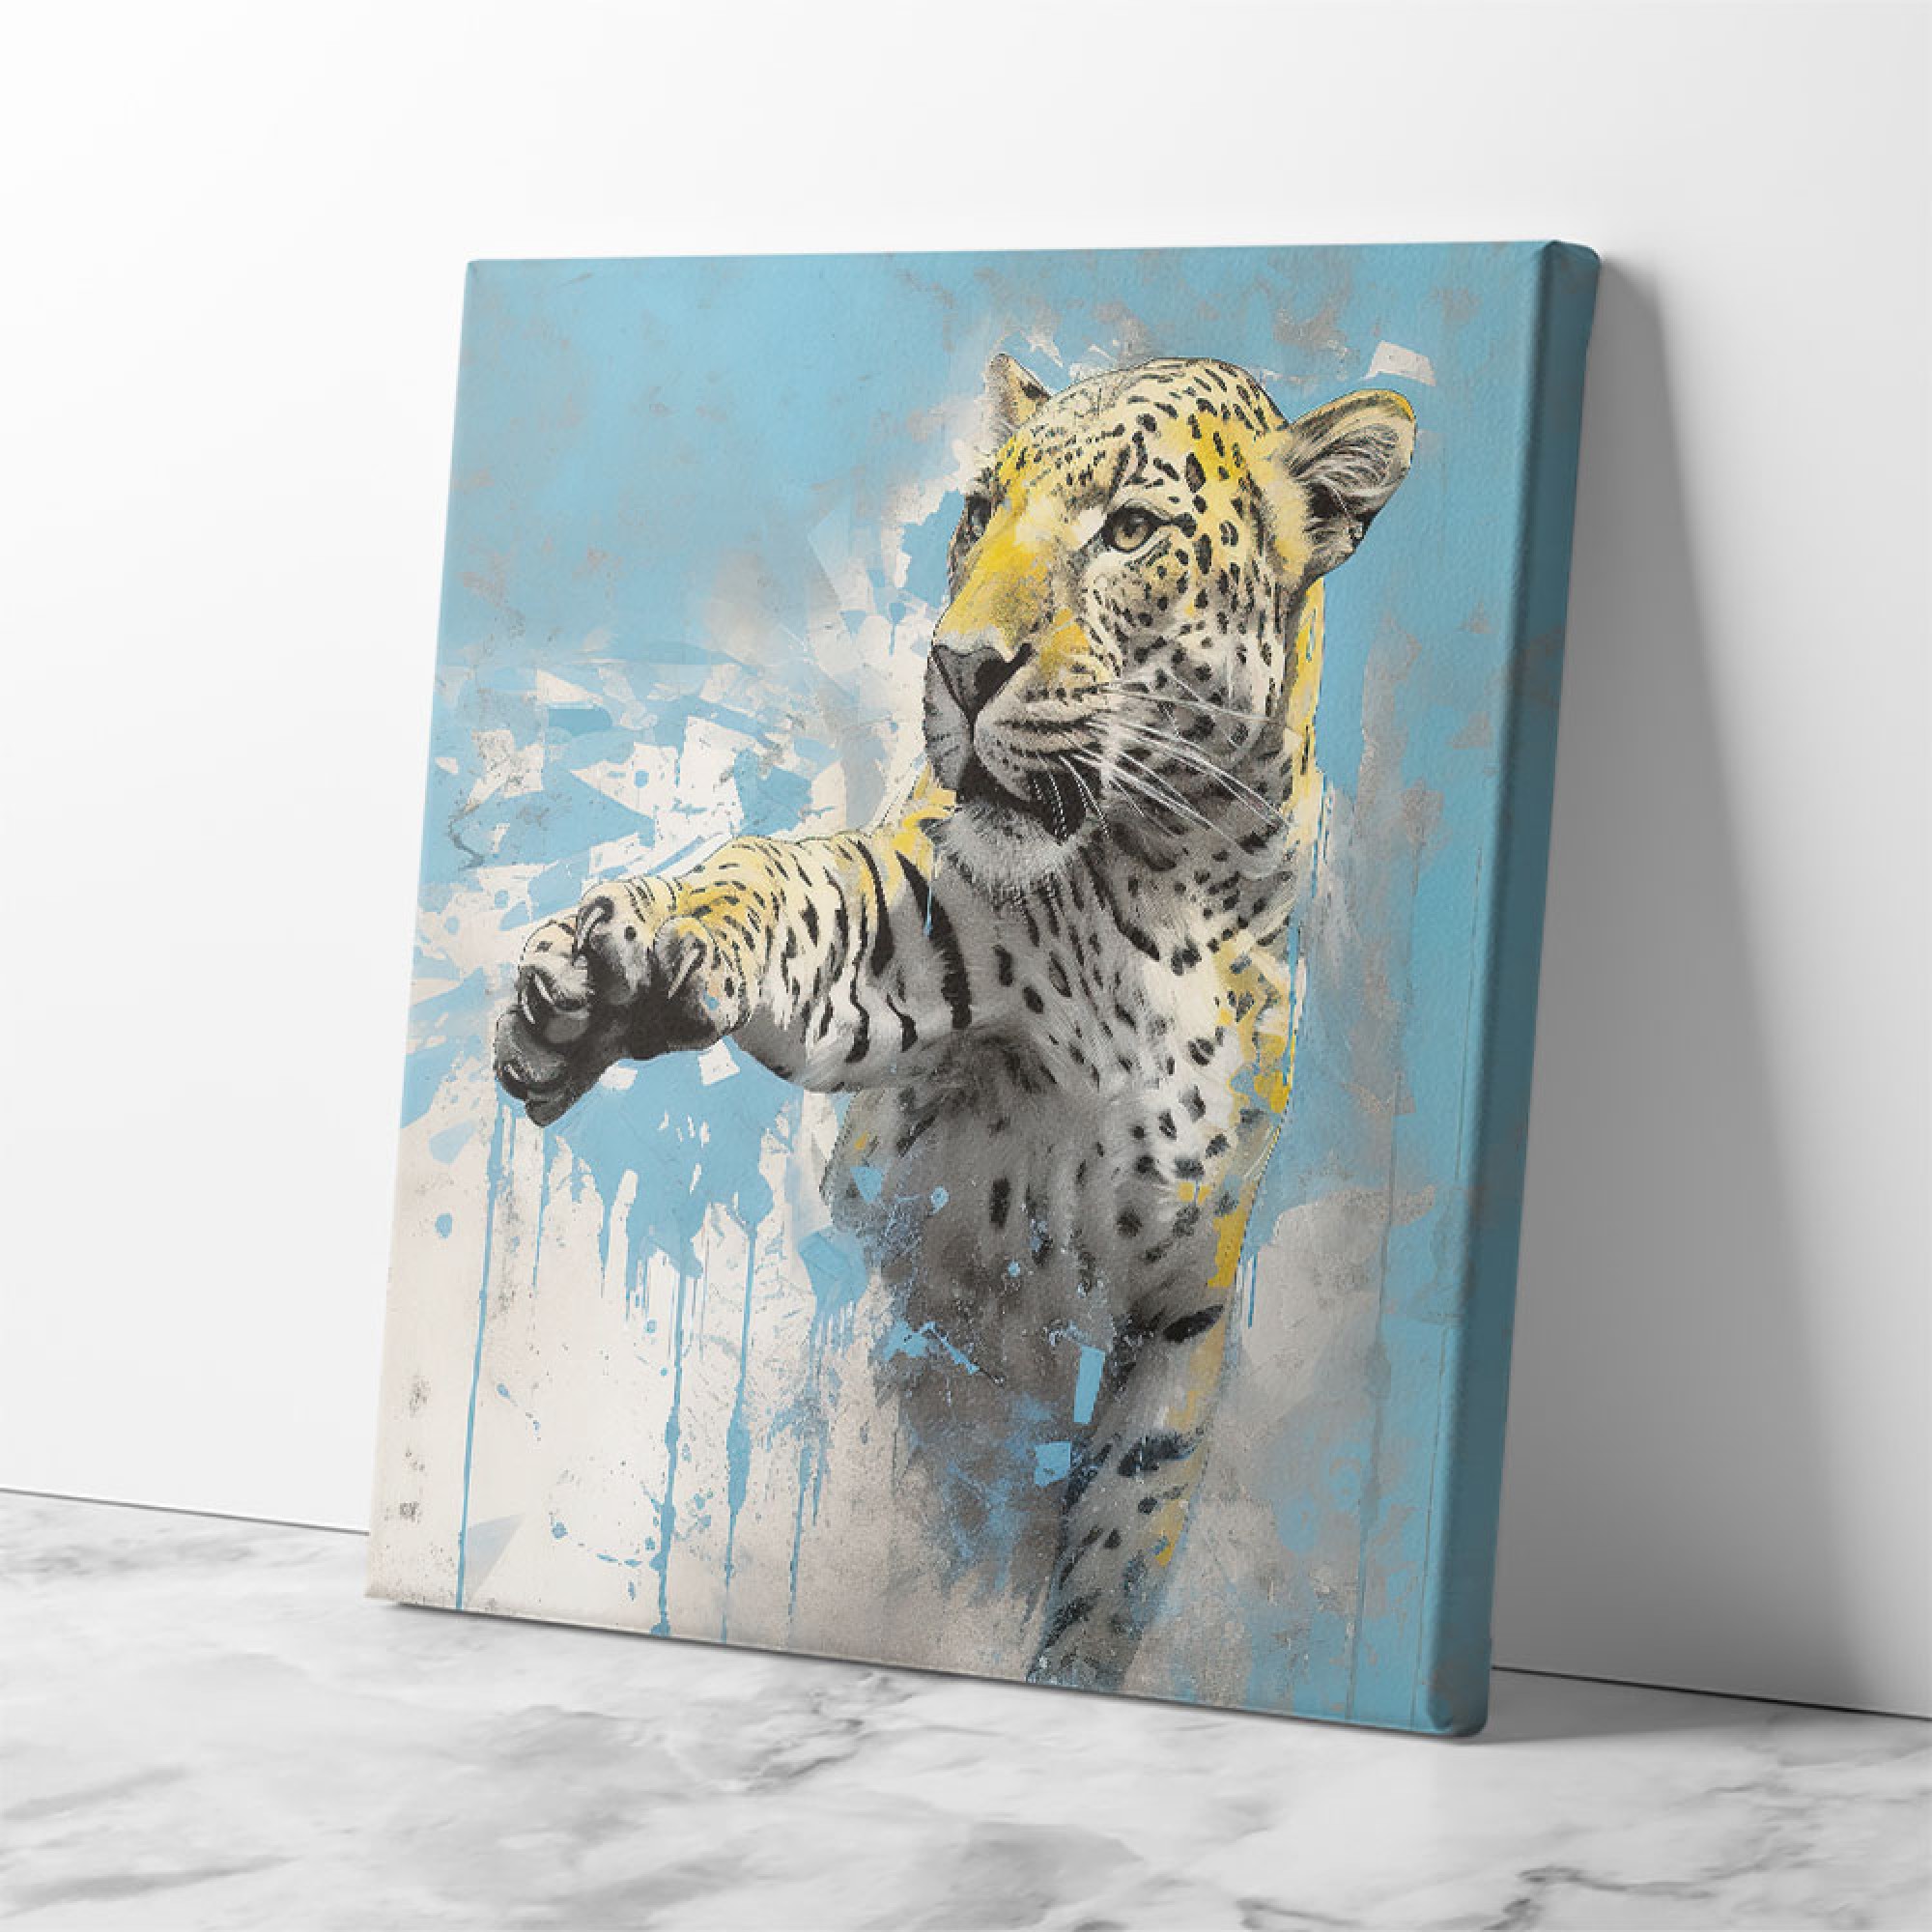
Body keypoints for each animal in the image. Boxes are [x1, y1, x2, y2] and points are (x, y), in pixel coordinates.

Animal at [493, 351, 1414, 1692]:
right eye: (978, 515)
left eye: (1127, 531)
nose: (957, 664)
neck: (1173, 891)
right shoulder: (904, 943)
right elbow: (787, 889)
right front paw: (609, 974)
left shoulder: (1178, 1308)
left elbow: (1115, 1544)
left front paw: (1069, 1665)